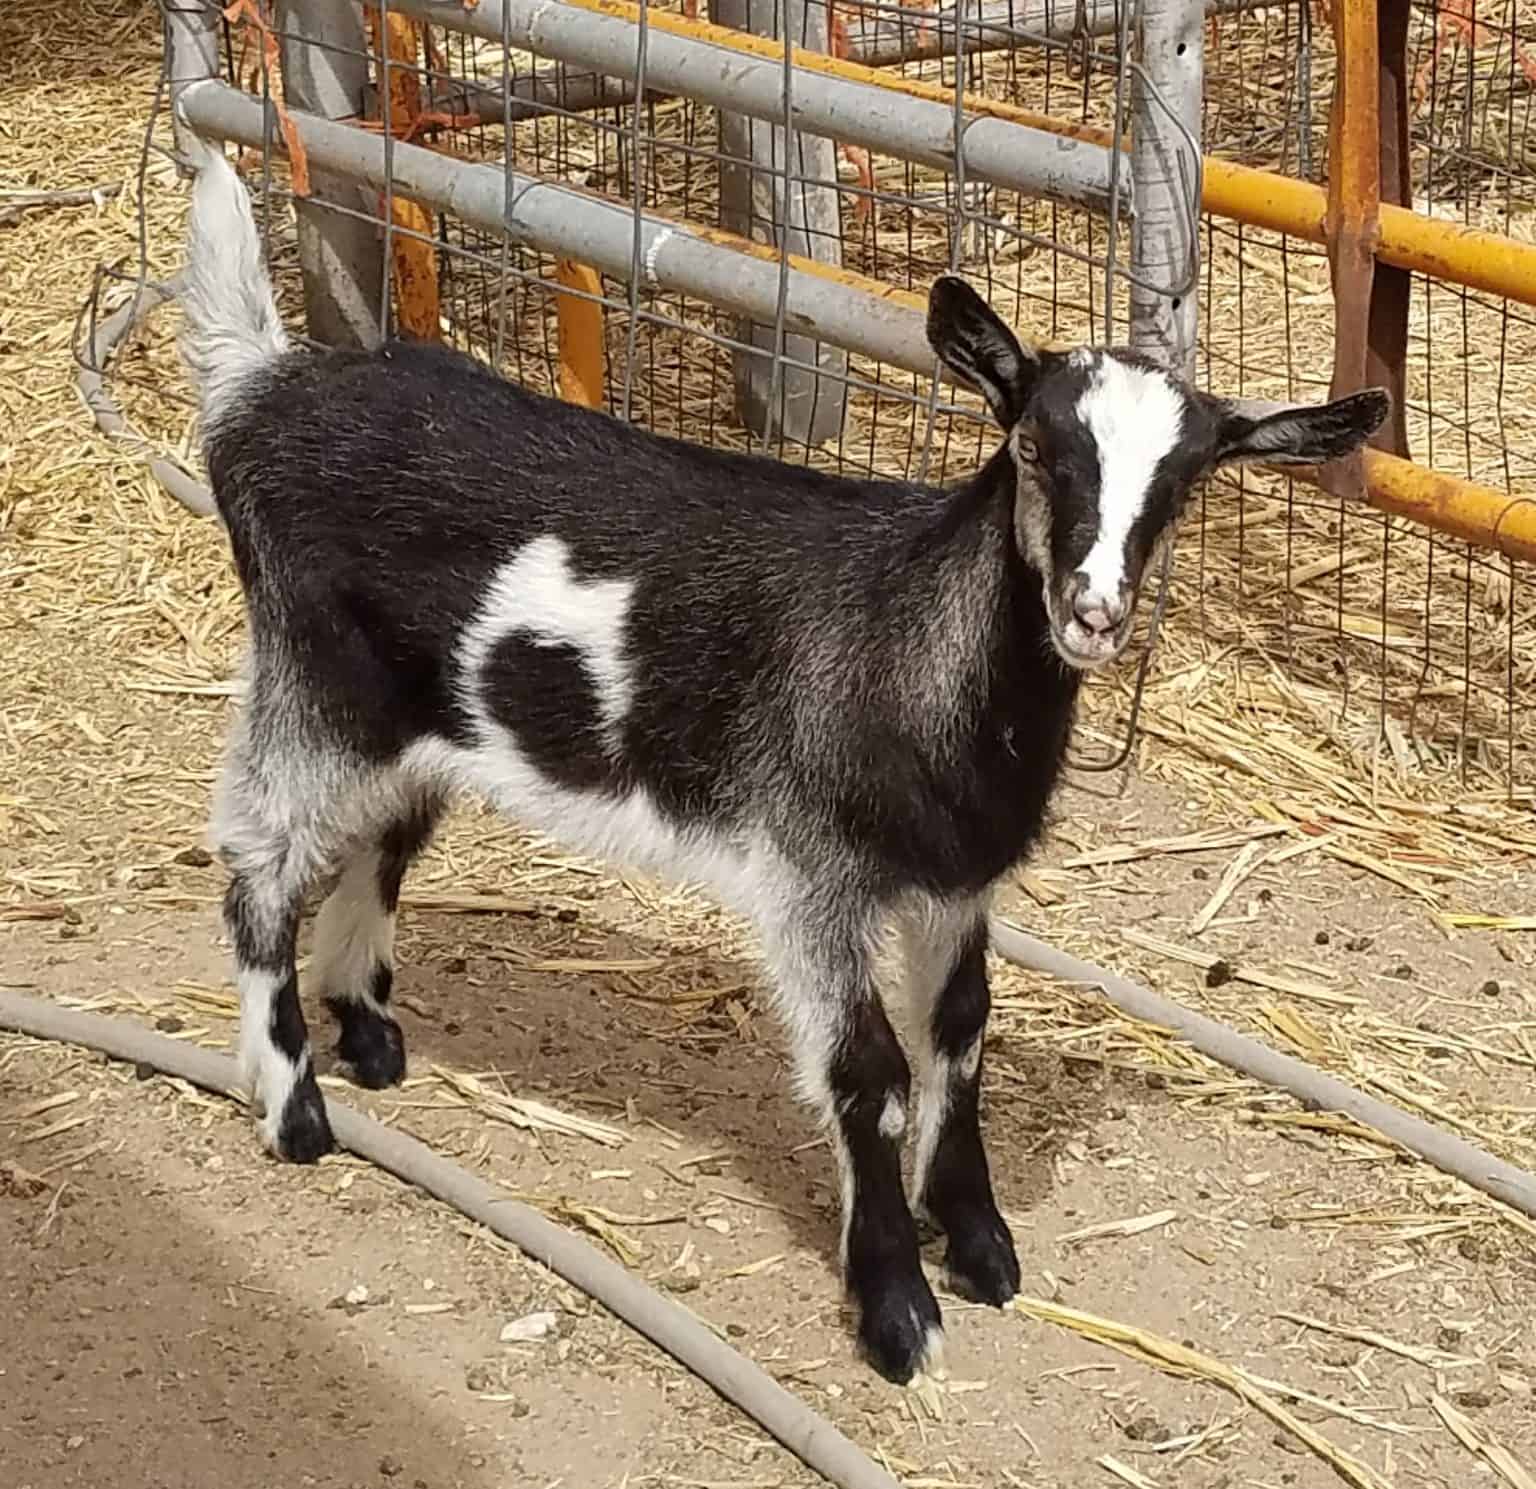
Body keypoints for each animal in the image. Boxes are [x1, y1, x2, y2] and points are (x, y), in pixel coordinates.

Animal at [177, 135, 1388, 1383]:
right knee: (259, 863)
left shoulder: (955, 882)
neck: (907, 638)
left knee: (382, 835)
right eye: (1032, 449)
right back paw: (293, 1108)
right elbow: (870, 1071)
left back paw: (365, 1028)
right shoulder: (812, 873)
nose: (1093, 613)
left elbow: (961, 1033)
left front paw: (979, 1239)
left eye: (1185, 484)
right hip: (314, 681)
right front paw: (896, 1305)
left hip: (417, 714)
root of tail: (261, 392)